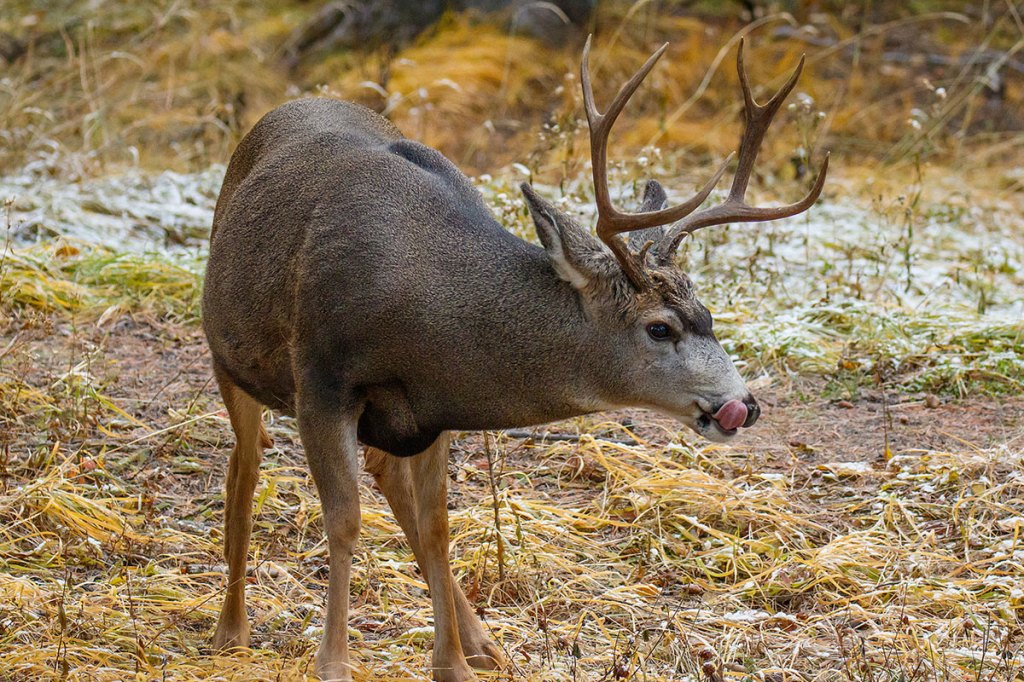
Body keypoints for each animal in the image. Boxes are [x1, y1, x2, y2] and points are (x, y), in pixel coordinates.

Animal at [201, 36, 827, 682]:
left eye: (710, 314)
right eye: (660, 328)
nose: (742, 405)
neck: (420, 302)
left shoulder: (431, 410)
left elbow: (437, 526)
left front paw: (453, 665)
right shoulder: (323, 378)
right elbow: (345, 519)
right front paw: (333, 665)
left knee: (378, 476)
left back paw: (483, 642)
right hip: (231, 357)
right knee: (244, 465)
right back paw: (231, 629)